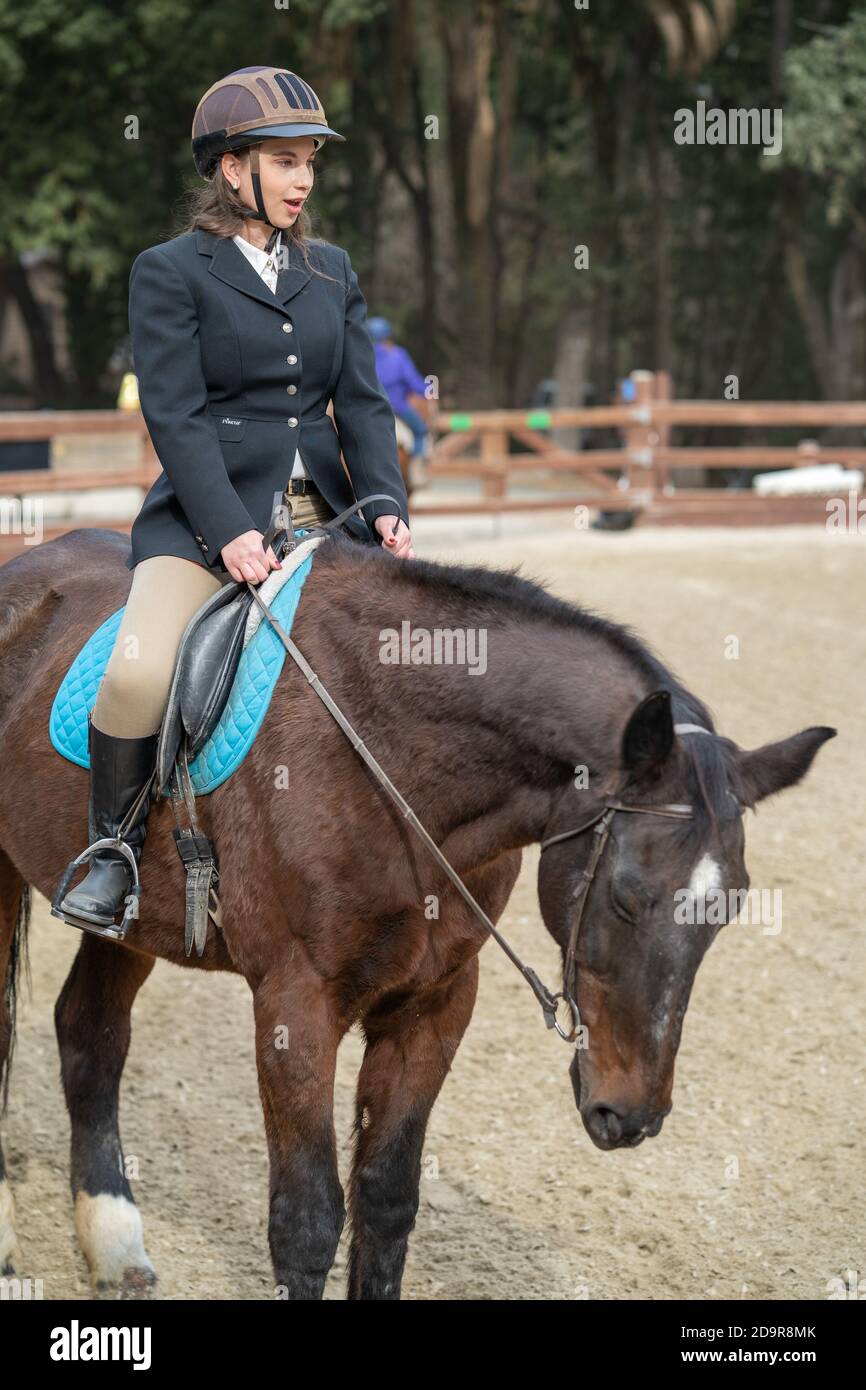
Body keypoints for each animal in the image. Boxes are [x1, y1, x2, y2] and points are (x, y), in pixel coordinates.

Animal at [0, 526, 834, 1299]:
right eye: (628, 895)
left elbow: (388, 1198)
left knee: (91, 1035)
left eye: (730, 907)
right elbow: (307, 1219)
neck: (391, 756)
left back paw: (115, 1244)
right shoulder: (295, 1006)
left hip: (130, 924)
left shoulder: (435, 1000)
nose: (631, 1116)